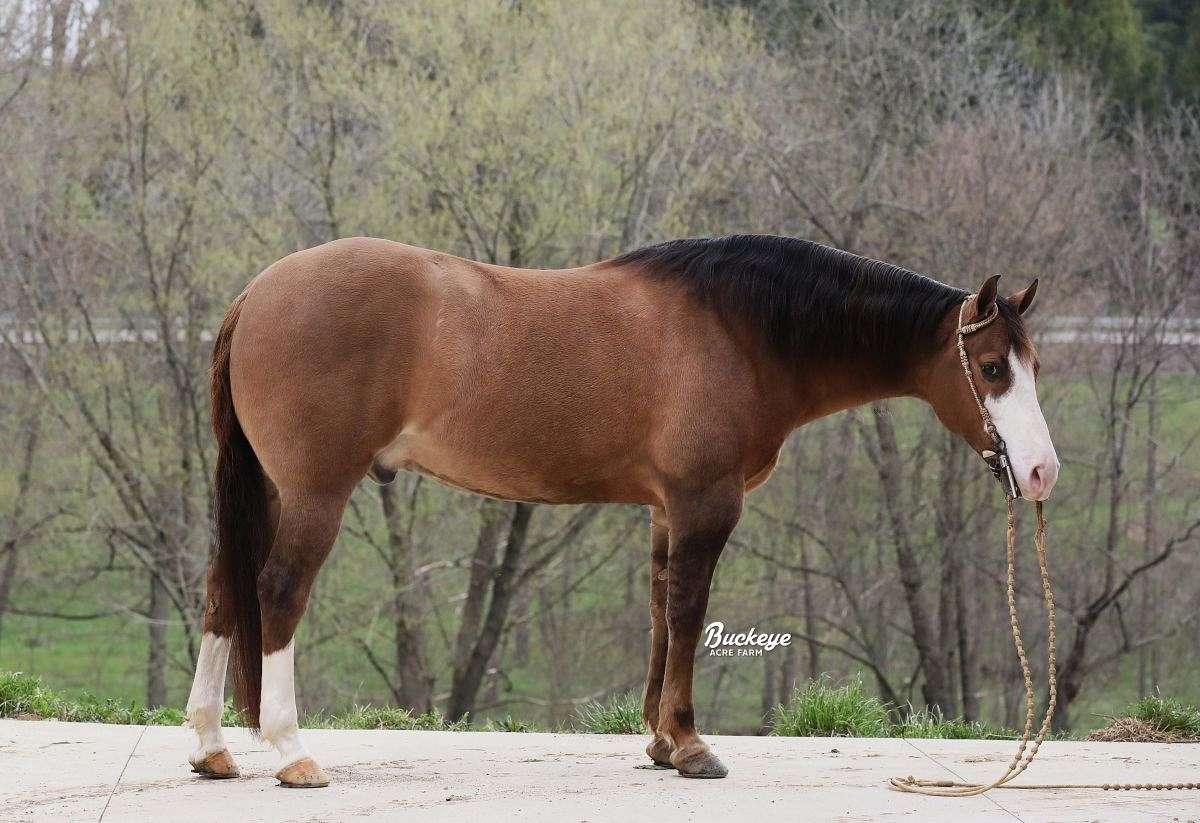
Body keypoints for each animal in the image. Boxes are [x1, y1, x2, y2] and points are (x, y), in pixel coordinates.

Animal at [184, 234, 1058, 787]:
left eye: (1034, 364)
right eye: (990, 367)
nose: (1042, 470)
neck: (741, 330)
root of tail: (256, 294)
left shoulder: (666, 510)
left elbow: (660, 613)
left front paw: (661, 741)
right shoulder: (706, 503)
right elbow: (689, 615)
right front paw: (692, 742)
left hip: (265, 490)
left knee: (224, 594)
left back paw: (212, 747)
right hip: (314, 492)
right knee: (278, 592)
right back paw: (292, 752)